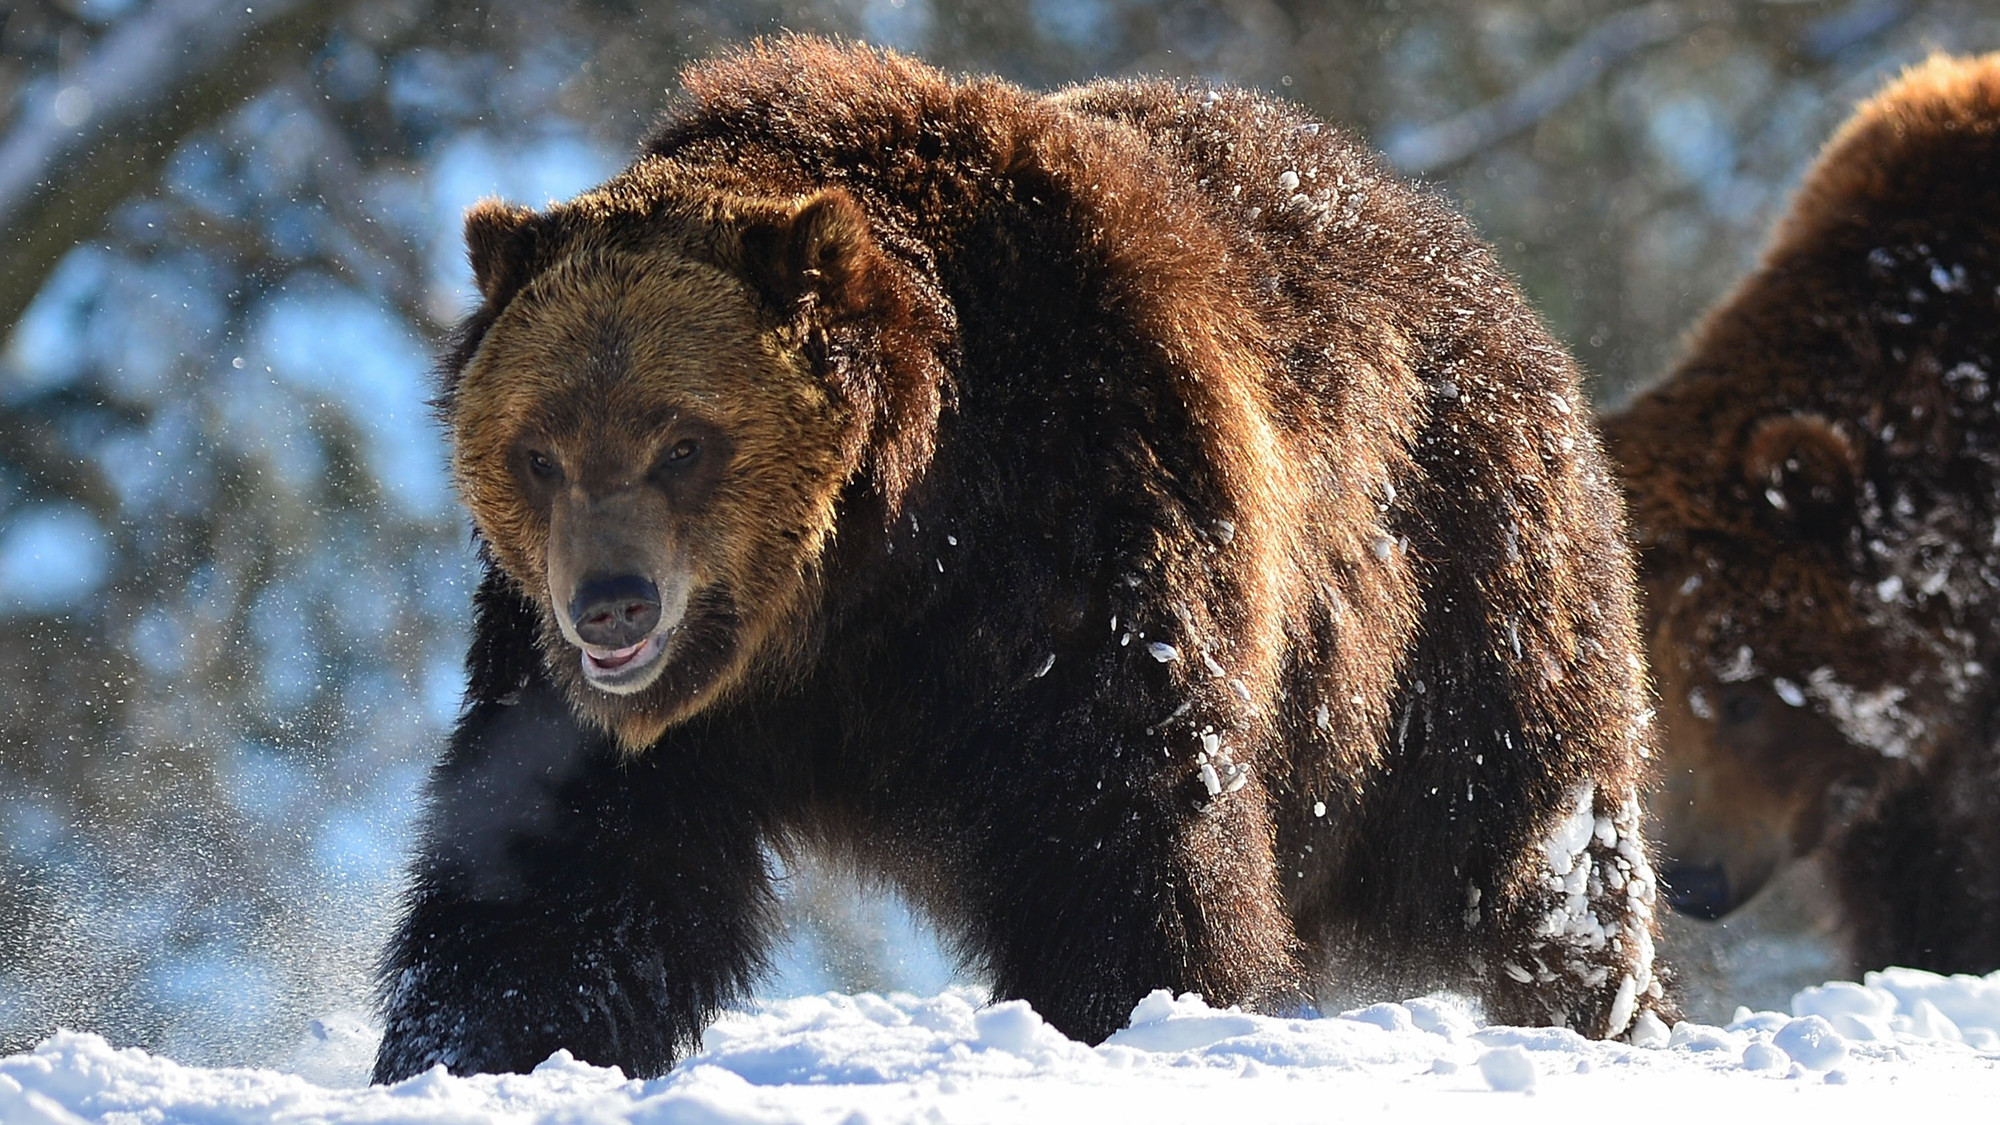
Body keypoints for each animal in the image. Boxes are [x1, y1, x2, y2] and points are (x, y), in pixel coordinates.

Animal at [372, 37, 1669, 1083]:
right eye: (538, 451)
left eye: (683, 441)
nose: (611, 607)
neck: (854, 581)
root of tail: (1468, 255)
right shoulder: (607, 687)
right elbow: (563, 864)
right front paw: (473, 1048)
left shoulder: (1079, 525)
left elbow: (1123, 817)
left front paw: (1136, 1010)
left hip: (1449, 589)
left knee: (1514, 830)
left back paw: (1595, 1006)